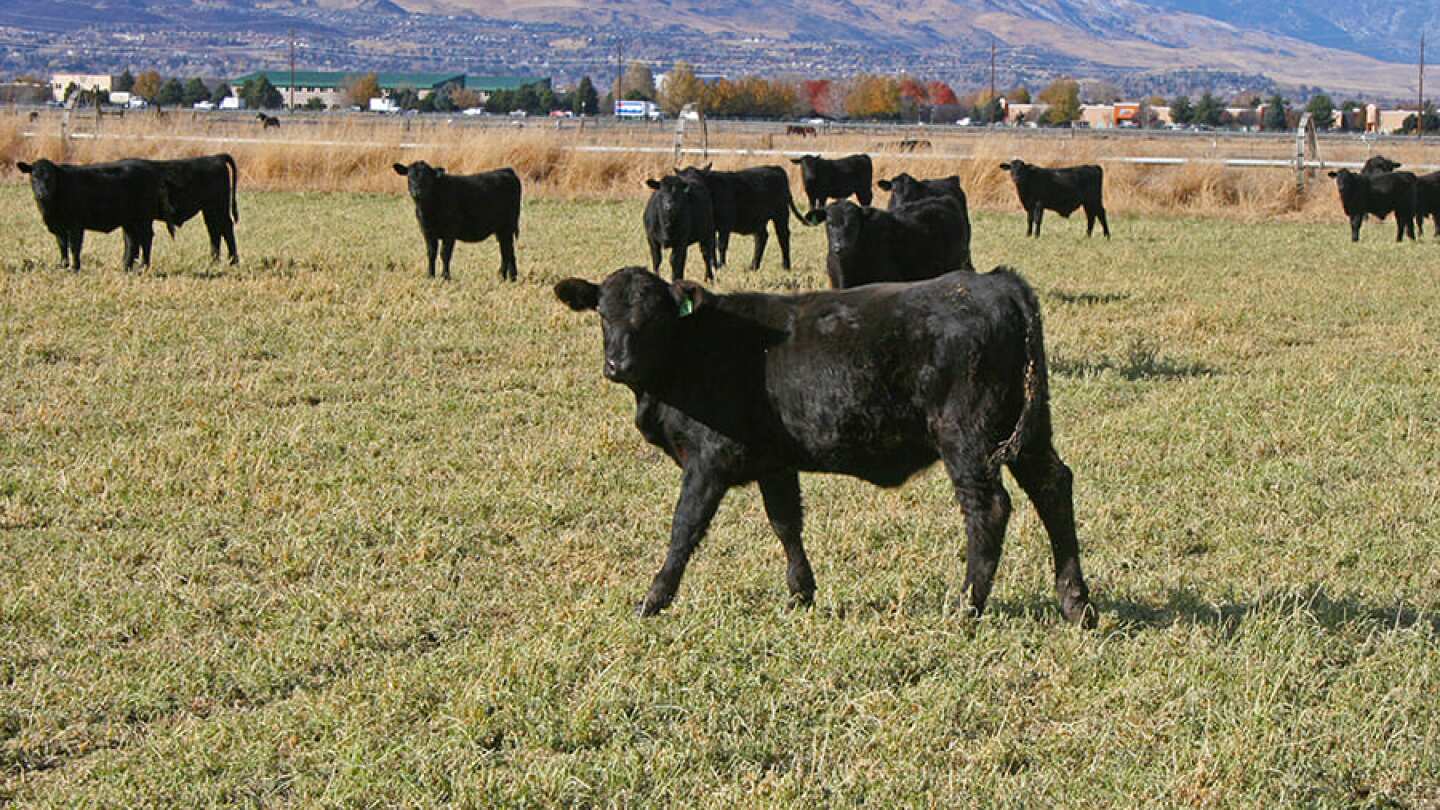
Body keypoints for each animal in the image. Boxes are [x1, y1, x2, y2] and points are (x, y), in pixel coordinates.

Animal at [16, 158, 161, 272]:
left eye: (50, 177)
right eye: (34, 177)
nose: (42, 193)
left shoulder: (75, 225)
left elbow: (74, 247)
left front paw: (75, 268)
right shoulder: (58, 227)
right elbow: (62, 246)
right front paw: (63, 265)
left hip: (143, 218)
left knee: (146, 238)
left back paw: (143, 267)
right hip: (129, 221)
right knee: (132, 241)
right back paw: (126, 267)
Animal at [392, 161, 521, 281]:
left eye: (427, 178)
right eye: (409, 177)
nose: (417, 192)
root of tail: (506, 170)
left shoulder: (449, 232)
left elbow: (444, 254)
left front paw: (445, 277)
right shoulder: (427, 232)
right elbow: (431, 253)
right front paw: (430, 276)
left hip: (506, 227)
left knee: (506, 251)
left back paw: (502, 276)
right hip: (502, 230)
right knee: (509, 251)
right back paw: (512, 278)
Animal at [552, 266, 1095, 627]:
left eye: (655, 318)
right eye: (603, 314)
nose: (617, 364)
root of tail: (995, 281)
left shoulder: (708, 461)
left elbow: (684, 530)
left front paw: (653, 599)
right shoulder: (774, 462)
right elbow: (786, 523)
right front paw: (801, 594)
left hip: (967, 438)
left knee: (989, 509)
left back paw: (966, 608)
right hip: (1027, 432)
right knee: (1053, 488)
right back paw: (1076, 603)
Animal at [676, 165, 810, 271]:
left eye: (698, 179)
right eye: (681, 179)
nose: (689, 188)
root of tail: (775, 168)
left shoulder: (725, 225)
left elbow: (721, 245)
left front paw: (722, 265)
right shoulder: (711, 227)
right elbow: (712, 246)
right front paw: (714, 265)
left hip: (781, 214)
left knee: (783, 236)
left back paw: (786, 266)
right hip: (759, 220)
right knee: (761, 238)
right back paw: (754, 266)